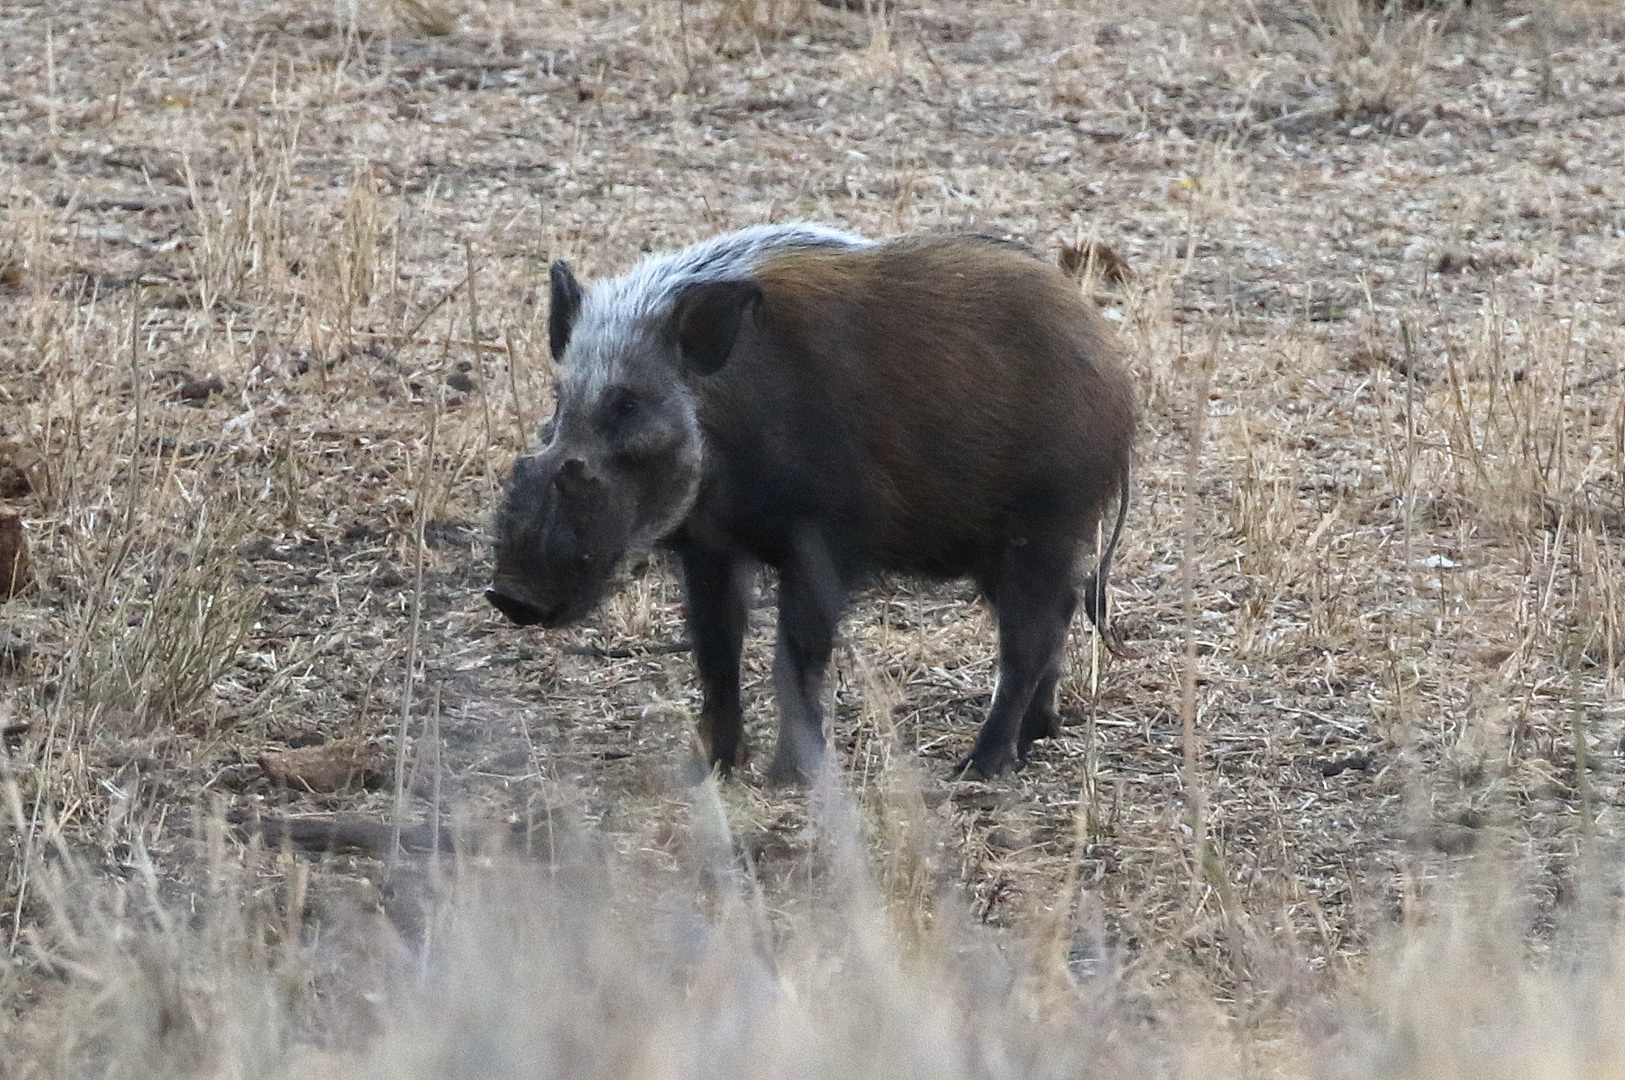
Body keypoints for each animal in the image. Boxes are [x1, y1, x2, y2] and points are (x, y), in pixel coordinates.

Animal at [488, 225, 1135, 781]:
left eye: (626, 406)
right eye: (559, 401)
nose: (510, 594)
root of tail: (1116, 373)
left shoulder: (824, 542)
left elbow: (794, 660)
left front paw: (787, 779)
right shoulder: (709, 549)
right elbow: (716, 656)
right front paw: (709, 772)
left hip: (1044, 525)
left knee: (1028, 637)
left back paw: (979, 767)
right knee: (1062, 608)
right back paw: (1036, 735)